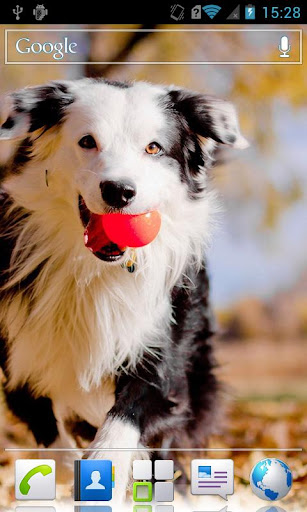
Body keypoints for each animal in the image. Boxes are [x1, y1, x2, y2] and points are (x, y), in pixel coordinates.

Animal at [0, 80, 248, 500]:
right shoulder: (19, 361)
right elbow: (53, 442)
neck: (97, 271)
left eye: (153, 148)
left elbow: (122, 426)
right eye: (87, 141)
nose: (119, 191)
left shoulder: (161, 353)